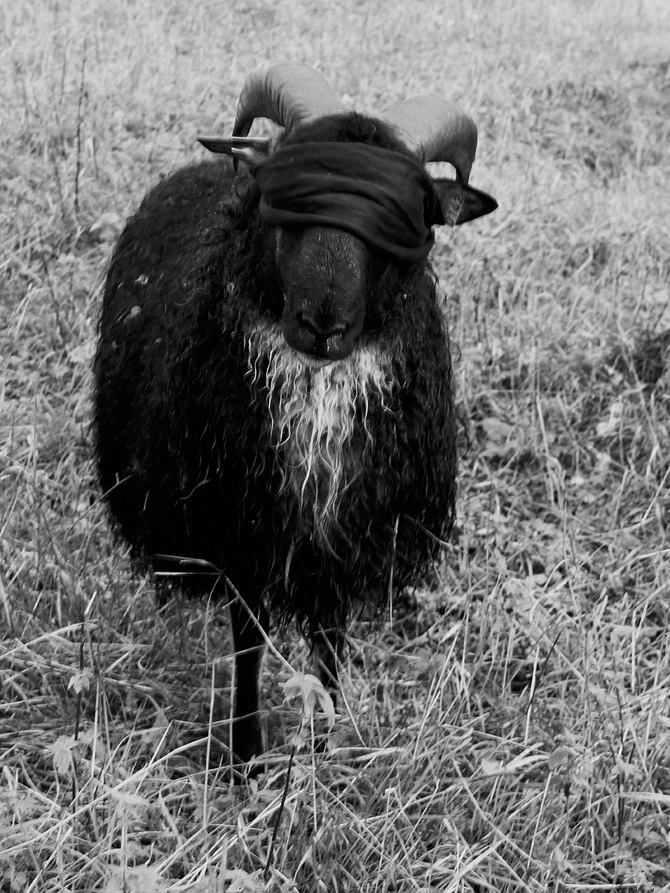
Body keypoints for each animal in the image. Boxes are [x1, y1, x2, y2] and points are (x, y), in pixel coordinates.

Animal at [93, 60, 497, 765]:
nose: (321, 322)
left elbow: (331, 638)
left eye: (407, 215)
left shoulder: (345, 535)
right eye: (288, 195)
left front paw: (327, 740)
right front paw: (246, 755)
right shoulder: (241, 531)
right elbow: (249, 642)